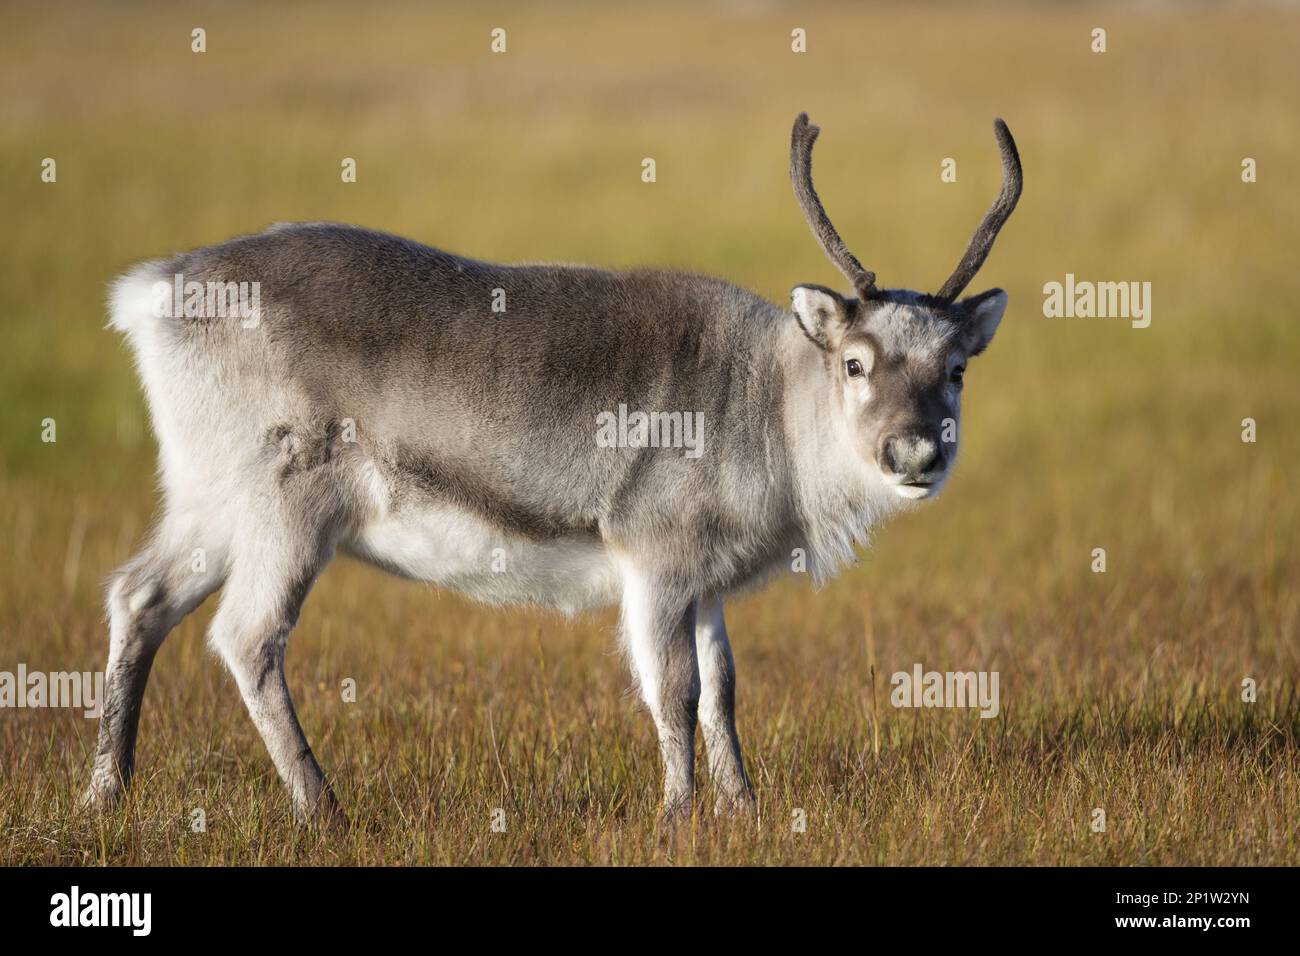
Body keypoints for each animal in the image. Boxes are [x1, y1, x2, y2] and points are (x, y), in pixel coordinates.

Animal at [86, 114, 1021, 824]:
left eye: (956, 368)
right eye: (857, 363)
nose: (916, 452)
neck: (769, 407)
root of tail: (152, 291)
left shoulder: (707, 582)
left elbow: (723, 690)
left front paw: (745, 808)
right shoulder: (654, 558)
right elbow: (672, 691)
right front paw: (677, 816)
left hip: (208, 504)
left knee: (138, 597)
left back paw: (105, 794)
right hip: (287, 509)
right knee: (246, 637)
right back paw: (324, 809)